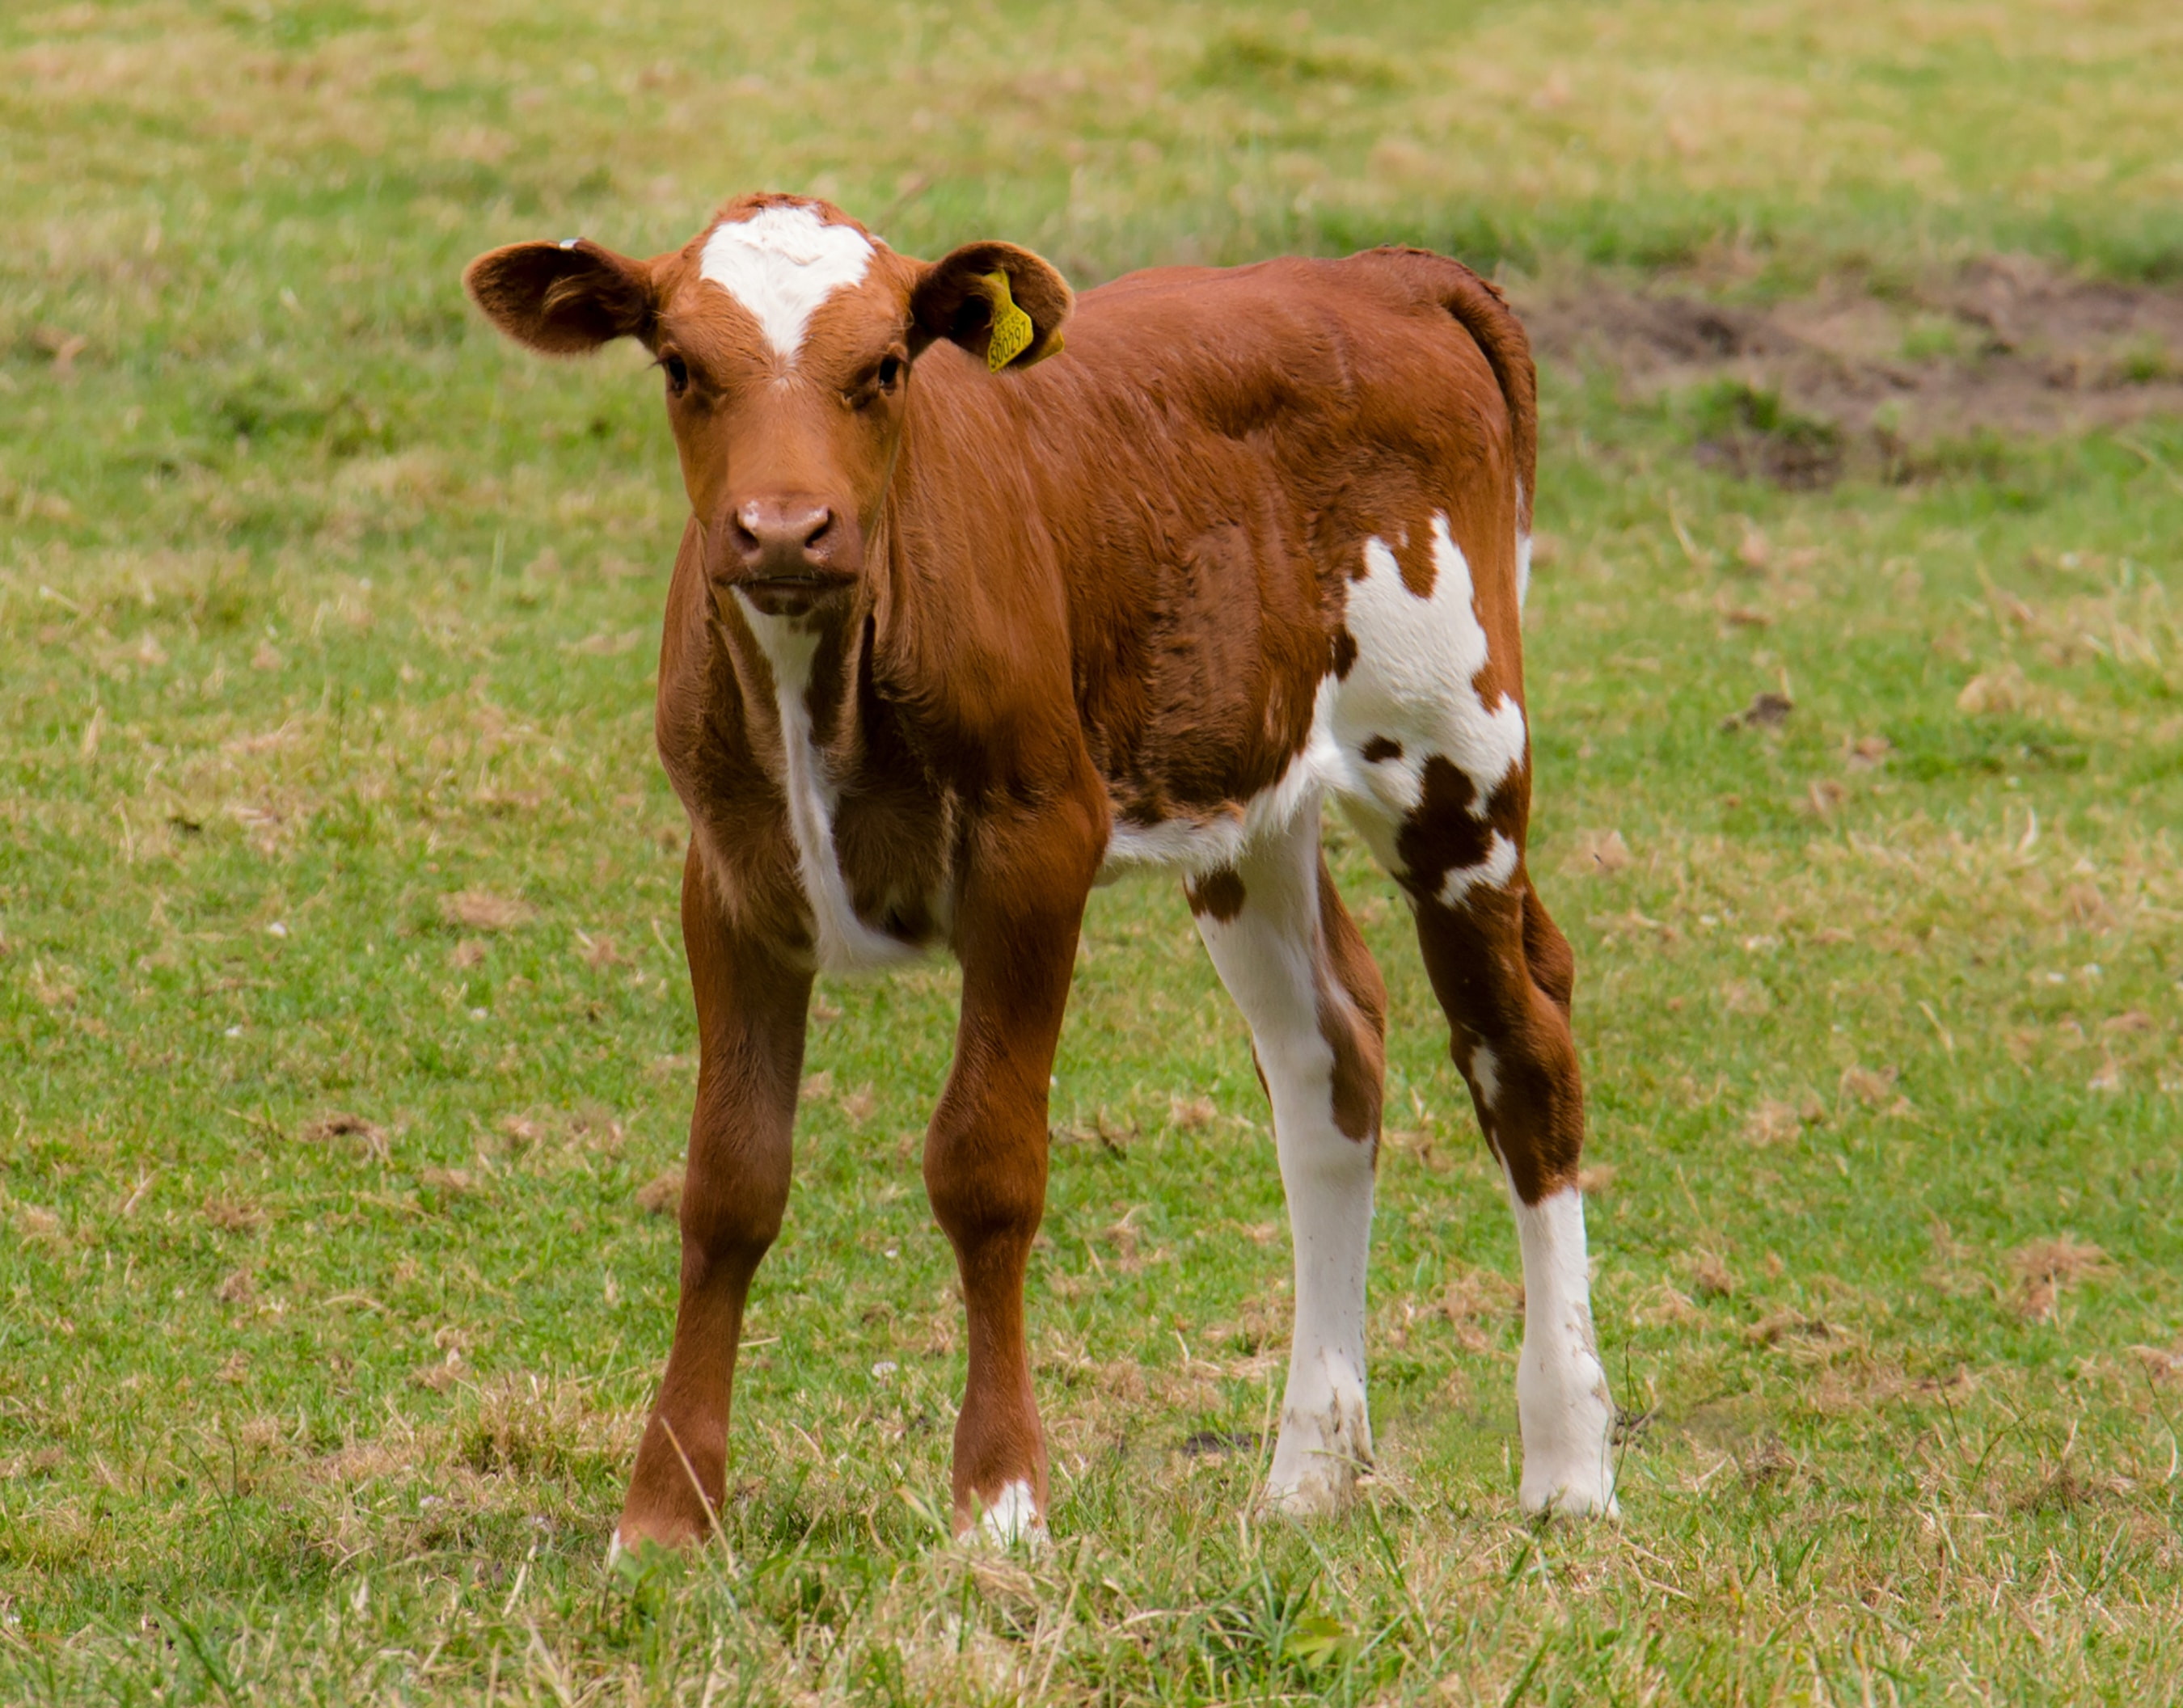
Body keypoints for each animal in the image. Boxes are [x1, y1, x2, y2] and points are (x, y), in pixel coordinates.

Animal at [463, 193, 1617, 1552]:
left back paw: (1569, 1467)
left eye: (886, 367)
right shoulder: (731, 879)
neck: (821, 677)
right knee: (1330, 1062)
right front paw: (668, 1510)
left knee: (1524, 1059)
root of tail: (1383, 275)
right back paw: (1307, 1472)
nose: (785, 528)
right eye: (681, 366)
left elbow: (986, 1166)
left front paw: (1000, 1503)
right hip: (1242, 807)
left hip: (1452, 760)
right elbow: (729, 1181)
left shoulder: (1036, 854)